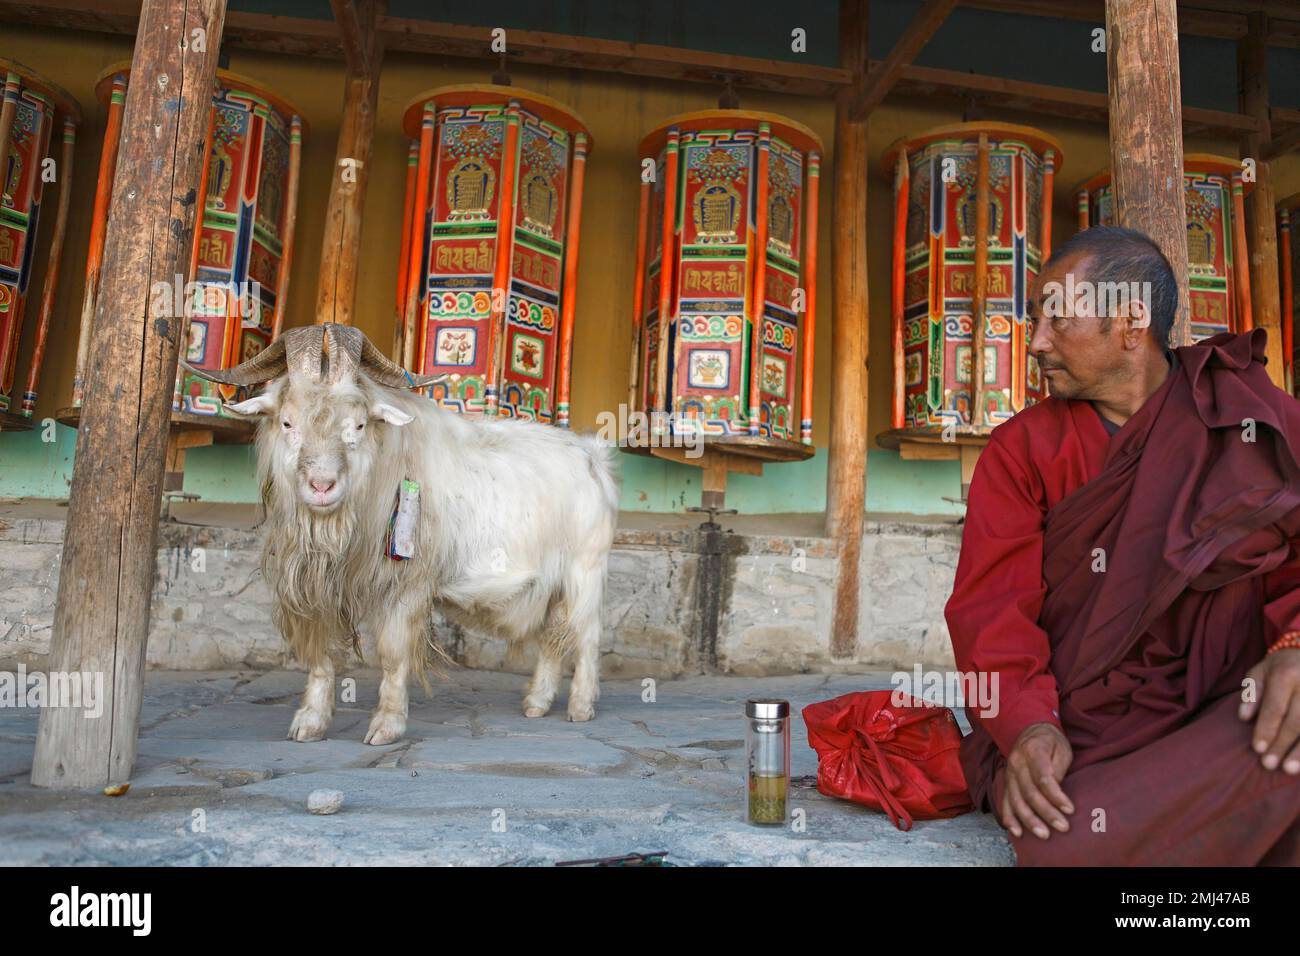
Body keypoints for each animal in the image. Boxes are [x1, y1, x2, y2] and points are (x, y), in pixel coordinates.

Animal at [185, 323, 618, 744]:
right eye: (288, 422)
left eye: (358, 424)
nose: (322, 486)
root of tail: (592, 456)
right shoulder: (317, 586)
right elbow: (321, 652)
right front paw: (309, 723)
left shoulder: (408, 581)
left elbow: (393, 652)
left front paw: (387, 726)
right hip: (553, 584)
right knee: (554, 635)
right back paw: (537, 703)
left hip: (585, 569)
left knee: (587, 634)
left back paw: (581, 707)